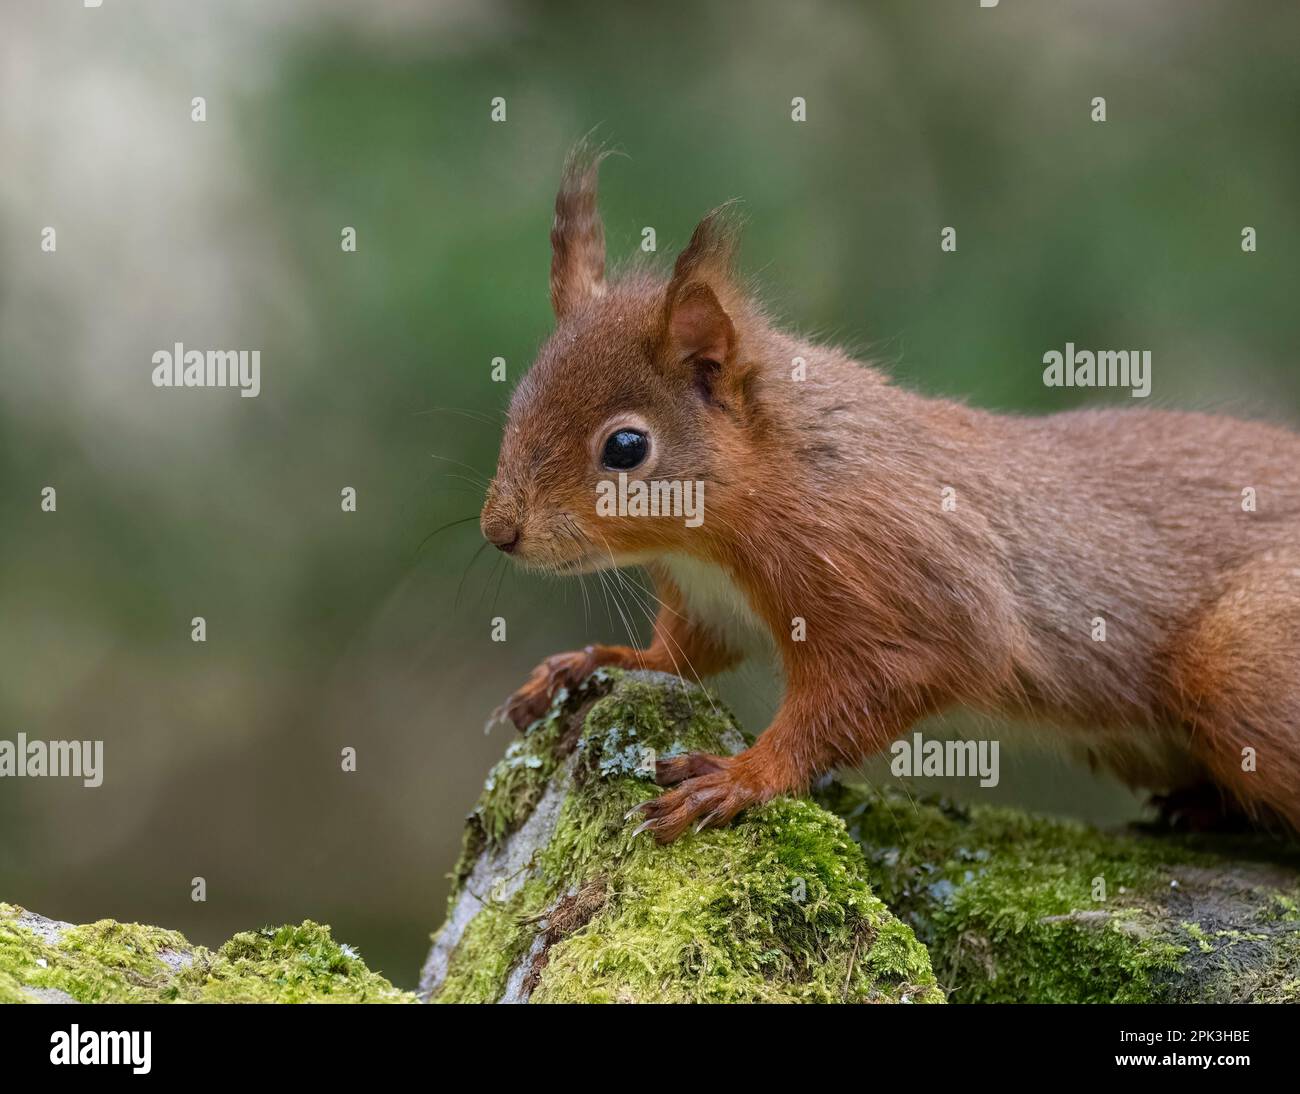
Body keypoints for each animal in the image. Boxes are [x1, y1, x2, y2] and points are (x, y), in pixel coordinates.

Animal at [480, 144, 1300, 843]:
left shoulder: (890, 571)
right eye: (515, 401)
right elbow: (679, 655)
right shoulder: (711, 599)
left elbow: (882, 683)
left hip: (1242, 669)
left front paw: (744, 777)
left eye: (625, 448)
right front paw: (589, 660)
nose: (498, 532)